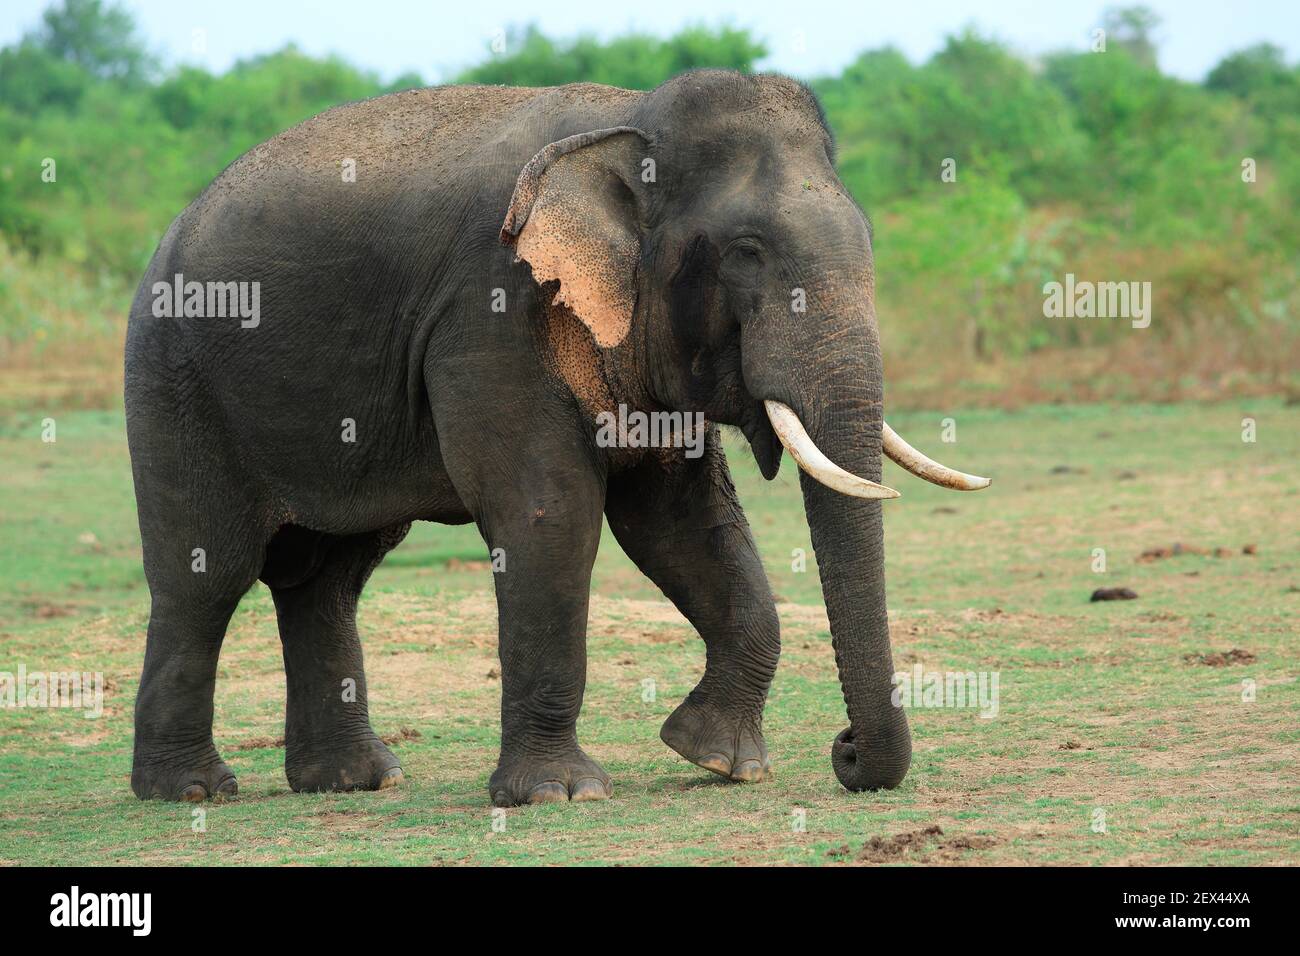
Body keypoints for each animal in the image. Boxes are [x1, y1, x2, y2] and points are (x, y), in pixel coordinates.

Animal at [124, 69, 989, 806]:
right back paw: (191, 791)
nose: (845, 752)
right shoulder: (492, 307)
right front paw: (559, 795)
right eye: (748, 252)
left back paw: (352, 781)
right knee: (207, 573)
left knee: (330, 576)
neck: (628, 126)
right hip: (172, 377)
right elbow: (551, 514)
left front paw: (717, 760)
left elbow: (682, 520)